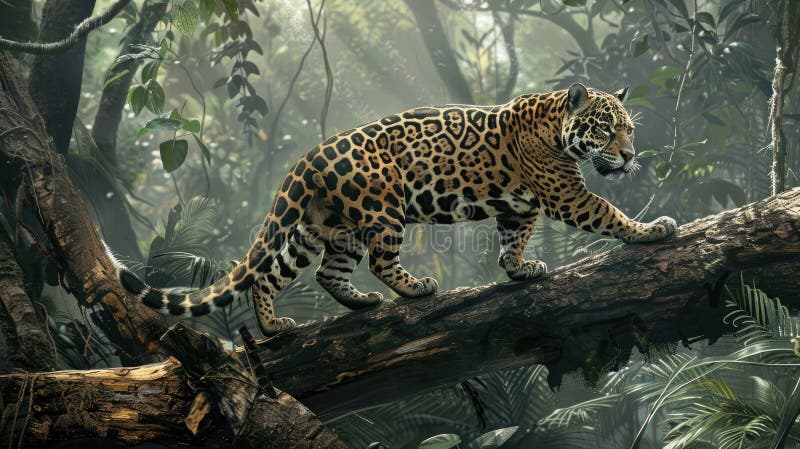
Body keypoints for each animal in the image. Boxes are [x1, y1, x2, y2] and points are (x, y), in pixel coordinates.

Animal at [115, 82, 677, 336]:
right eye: (606, 128)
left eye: (630, 128)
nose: (630, 156)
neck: (558, 126)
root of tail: (309, 154)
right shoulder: (565, 194)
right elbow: (608, 213)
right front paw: (653, 230)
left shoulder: (521, 206)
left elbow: (512, 239)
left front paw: (520, 269)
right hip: (383, 209)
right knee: (378, 261)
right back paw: (414, 289)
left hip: (323, 225)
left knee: (295, 272)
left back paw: (291, 322)